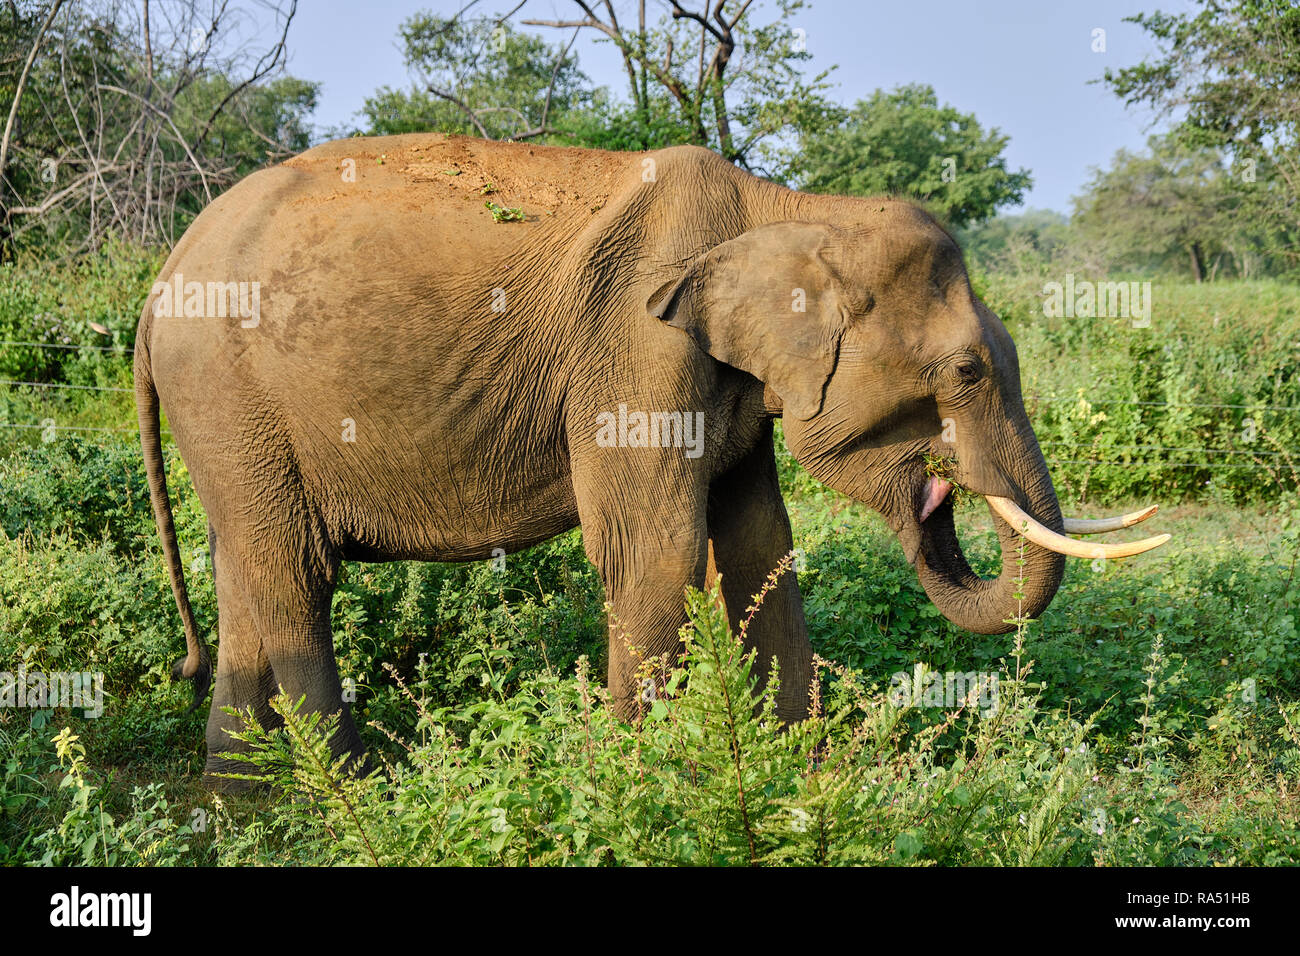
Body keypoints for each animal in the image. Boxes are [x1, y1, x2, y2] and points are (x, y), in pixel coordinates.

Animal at [134, 133, 1167, 787]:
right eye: (964, 371)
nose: (940, 489)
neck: (792, 210)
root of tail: (157, 285)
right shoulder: (636, 344)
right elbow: (656, 550)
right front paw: (642, 789)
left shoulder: (729, 377)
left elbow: (759, 547)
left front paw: (807, 778)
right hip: (228, 394)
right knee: (293, 571)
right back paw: (353, 798)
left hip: (227, 421)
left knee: (247, 570)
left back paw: (244, 800)